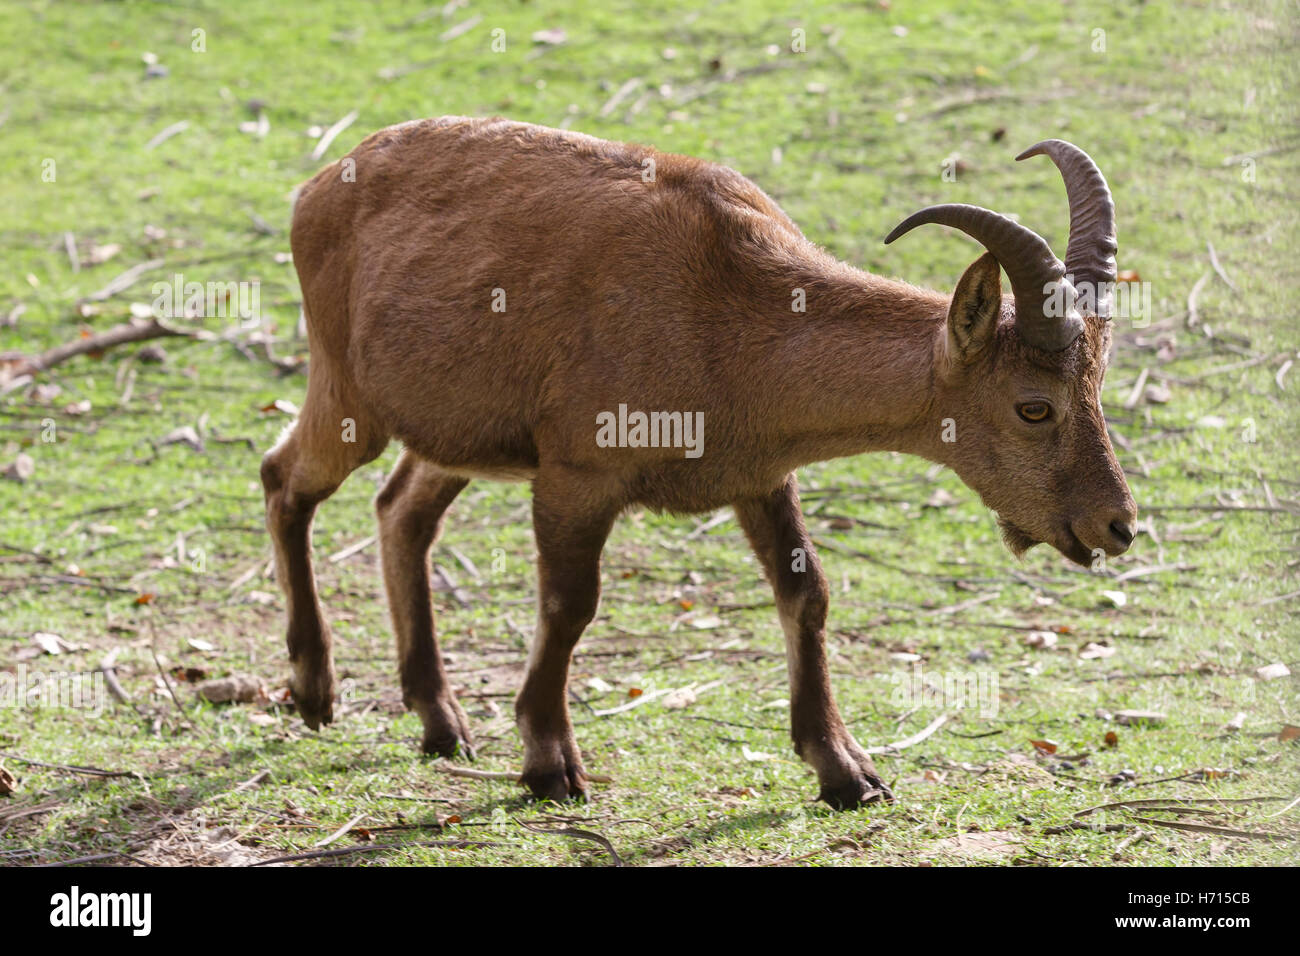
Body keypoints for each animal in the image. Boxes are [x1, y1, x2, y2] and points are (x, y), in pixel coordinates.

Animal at [262, 118, 1137, 808]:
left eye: (1097, 385)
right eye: (1033, 406)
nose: (1117, 525)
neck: (728, 310)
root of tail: (317, 189)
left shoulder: (760, 477)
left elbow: (806, 593)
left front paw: (845, 770)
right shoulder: (578, 477)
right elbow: (569, 606)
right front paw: (549, 764)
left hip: (454, 434)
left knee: (401, 513)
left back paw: (439, 720)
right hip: (350, 397)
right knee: (284, 480)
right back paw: (314, 689)